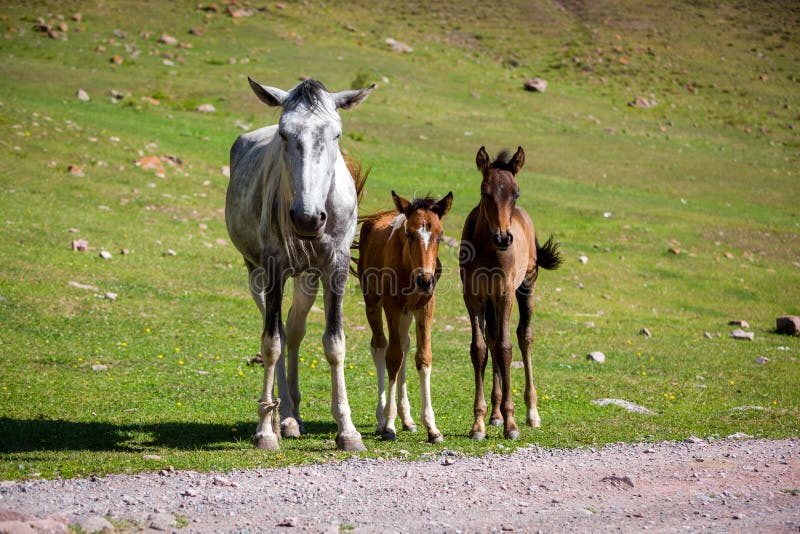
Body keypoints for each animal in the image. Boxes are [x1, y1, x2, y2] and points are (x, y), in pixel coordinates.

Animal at [225, 77, 374, 451]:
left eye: (336, 134)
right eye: (284, 133)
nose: (307, 219)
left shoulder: (334, 269)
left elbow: (334, 344)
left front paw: (348, 431)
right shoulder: (273, 268)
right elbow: (270, 343)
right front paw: (265, 431)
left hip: (307, 278)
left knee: (294, 329)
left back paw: (292, 414)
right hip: (255, 273)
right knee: (277, 330)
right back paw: (282, 417)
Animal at [357, 190, 453, 443]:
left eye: (440, 235)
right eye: (409, 234)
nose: (425, 280)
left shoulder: (426, 306)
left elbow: (422, 357)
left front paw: (432, 427)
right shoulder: (391, 305)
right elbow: (392, 357)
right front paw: (389, 426)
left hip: (407, 313)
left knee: (404, 345)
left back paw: (407, 419)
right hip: (373, 301)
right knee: (380, 346)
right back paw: (382, 419)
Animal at [459, 146, 562, 440]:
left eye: (516, 193)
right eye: (485, 192)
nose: (504, 238)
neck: (488, 250)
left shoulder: (504, 295)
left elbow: (506, 348)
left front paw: (511, 423)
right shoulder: (473, 297)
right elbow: (480, 349)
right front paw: (479, 423)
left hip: (526, 286)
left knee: (524, 337)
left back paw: (531, 413)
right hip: (490, 303)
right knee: (493, 339)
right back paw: (494, 414)